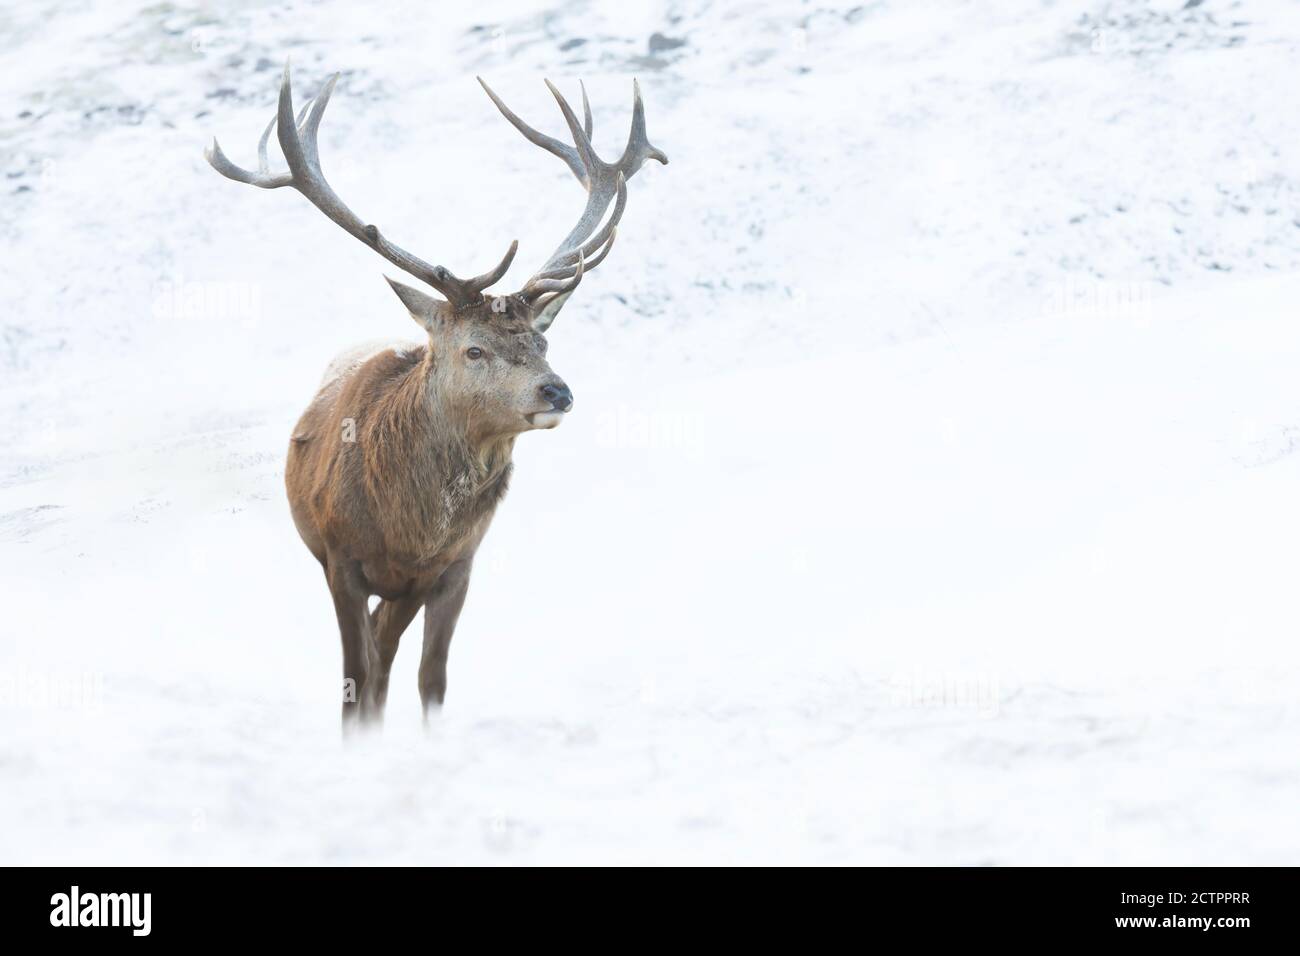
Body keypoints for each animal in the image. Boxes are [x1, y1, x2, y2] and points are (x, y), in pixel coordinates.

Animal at [205, 65, 670, 723]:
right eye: (473, 349)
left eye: (542, 341)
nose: (558, 391)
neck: (411, 530)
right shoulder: (341, 560)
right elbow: (354, 679)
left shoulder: (455, 568)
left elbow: (432, 679)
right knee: (373, 663)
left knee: (388, 654)